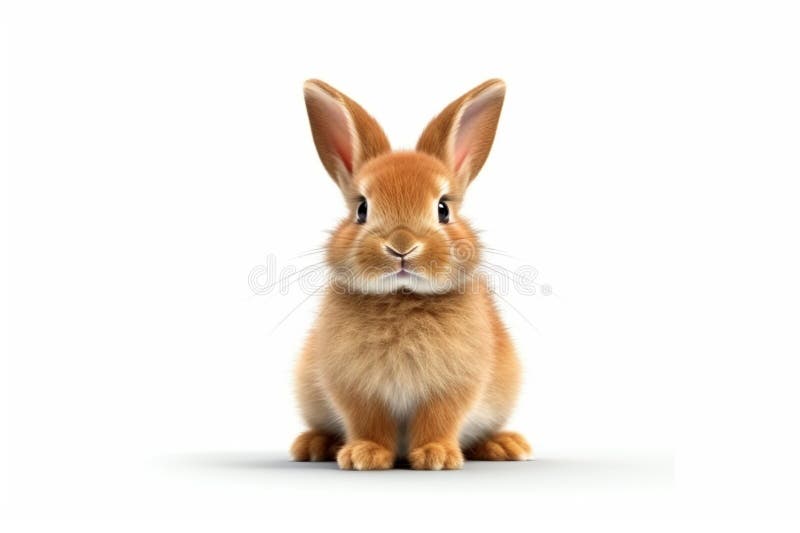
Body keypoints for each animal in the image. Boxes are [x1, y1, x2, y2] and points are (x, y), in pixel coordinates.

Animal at [289, 79, 531, 470]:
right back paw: (313, 444)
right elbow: (368, 420)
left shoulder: (453, 385)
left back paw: (505, 445)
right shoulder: (356, 387)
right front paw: (365, 454)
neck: (402, 296)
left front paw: (436, 456)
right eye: (361, 209)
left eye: (443, 209)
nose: (401, 246)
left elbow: (439, 418)